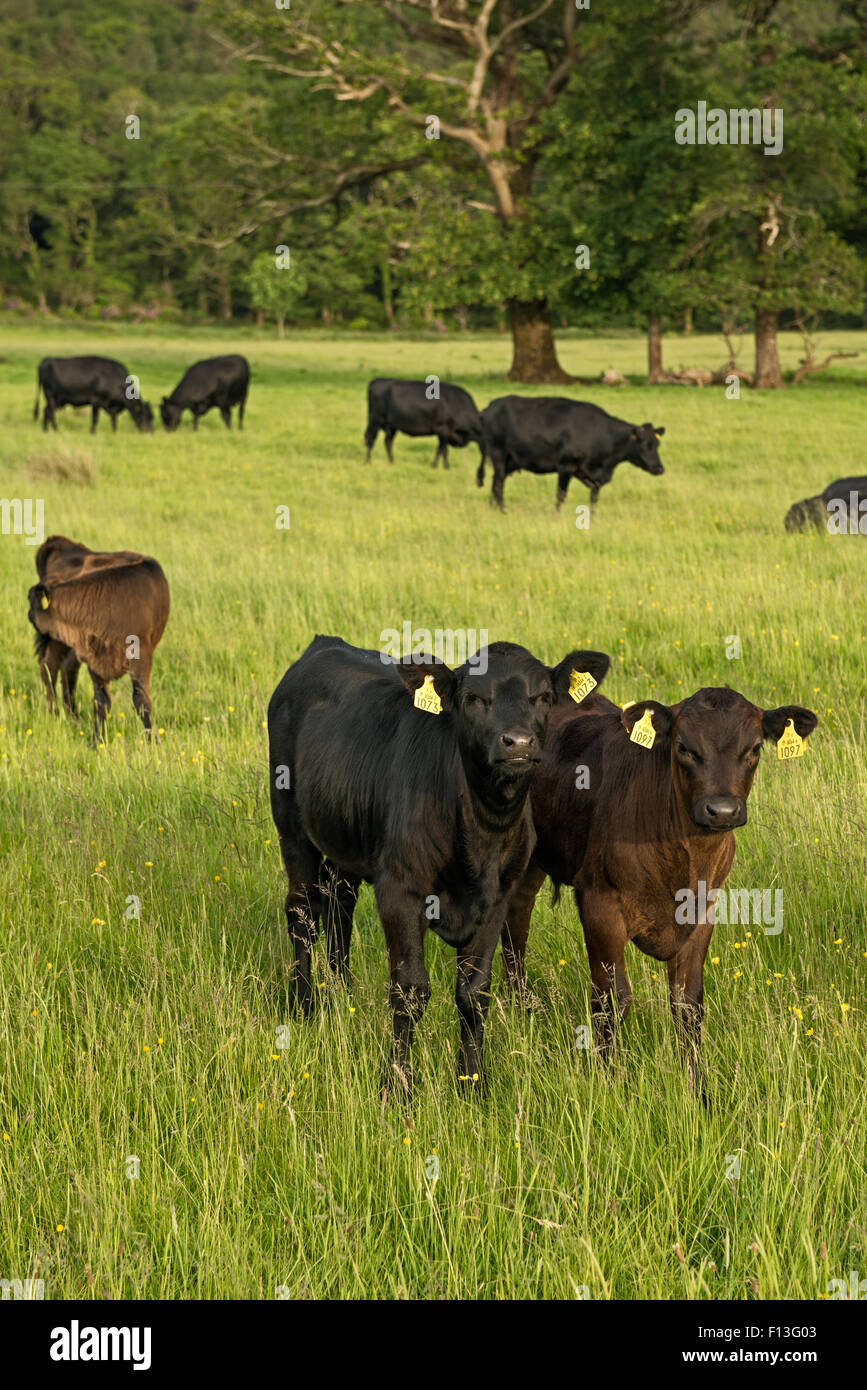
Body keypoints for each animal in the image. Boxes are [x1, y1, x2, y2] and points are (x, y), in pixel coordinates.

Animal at [28, 545, 170, 746]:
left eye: (31, 600)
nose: (29, 614)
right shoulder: (94, 660)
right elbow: (101, 701)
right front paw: (97, 742)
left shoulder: (140, 657)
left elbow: (141, 700)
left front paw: (153, 741)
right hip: (58, 642)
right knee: (50, 668)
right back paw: (54, 715)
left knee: (64, 668)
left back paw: (72, 716)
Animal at [268, 634, 610, 1097]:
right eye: (473, 698)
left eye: (542, 697)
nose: (518, 743)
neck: (481, 836)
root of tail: (325, 644)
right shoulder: (401, 891)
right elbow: (410, 991)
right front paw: (397, 1087)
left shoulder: (498, 897)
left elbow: (475, 993)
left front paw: (472, 1083)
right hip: (291, 825)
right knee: (302, 913)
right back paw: (304, 1006)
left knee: (340, 903)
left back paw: (342, 988)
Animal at [477, 396, 665, 511]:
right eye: (643, 444)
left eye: (656, 444)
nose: (659, 468)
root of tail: (490, 407)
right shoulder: (565, 466)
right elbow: (561, 495)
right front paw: (556, 516)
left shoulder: (594, 478)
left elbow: (594, 498)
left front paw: (593, 517)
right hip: (498, 453)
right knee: (498, 484)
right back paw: (503, 511)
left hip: (511, 460)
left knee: (496, 482)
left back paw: (494, 509)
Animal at [501, 687, 818, 1094]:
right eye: (683, 747)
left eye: (754, 748)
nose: (722, 810)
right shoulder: (600, 906)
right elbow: (612, 1000)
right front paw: (611, 1084)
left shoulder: (703, 912)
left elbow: (688, 1004)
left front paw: (697, 1090)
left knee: (517, 916)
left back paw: (523, 1008)